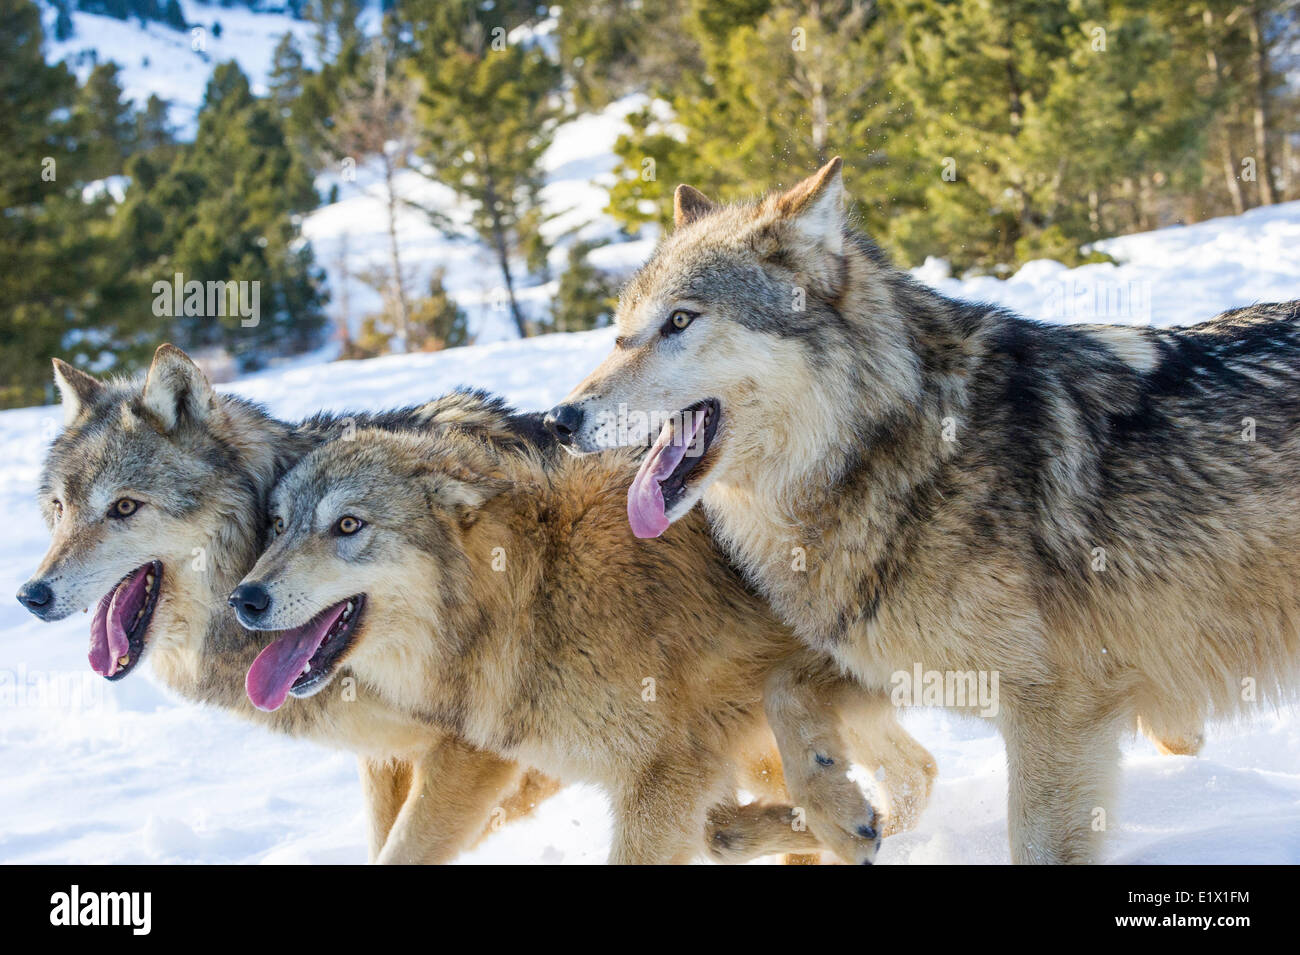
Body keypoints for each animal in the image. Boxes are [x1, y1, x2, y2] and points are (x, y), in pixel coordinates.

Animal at [229, 423, 939, 863]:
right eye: (279, 525)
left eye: (348, 526)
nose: (244, 599)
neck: (536, 595)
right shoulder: (685, 765)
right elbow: (718, 833)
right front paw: (824, 830)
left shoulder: (666, 768)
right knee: (918, 772)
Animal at [546, 158, 1300, 862]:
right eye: (619, 334)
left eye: (680, 320)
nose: (559, 418)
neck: (899, 445)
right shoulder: (903, 662)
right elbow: (786, 693)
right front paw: (838, 813)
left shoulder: (1058, 711)